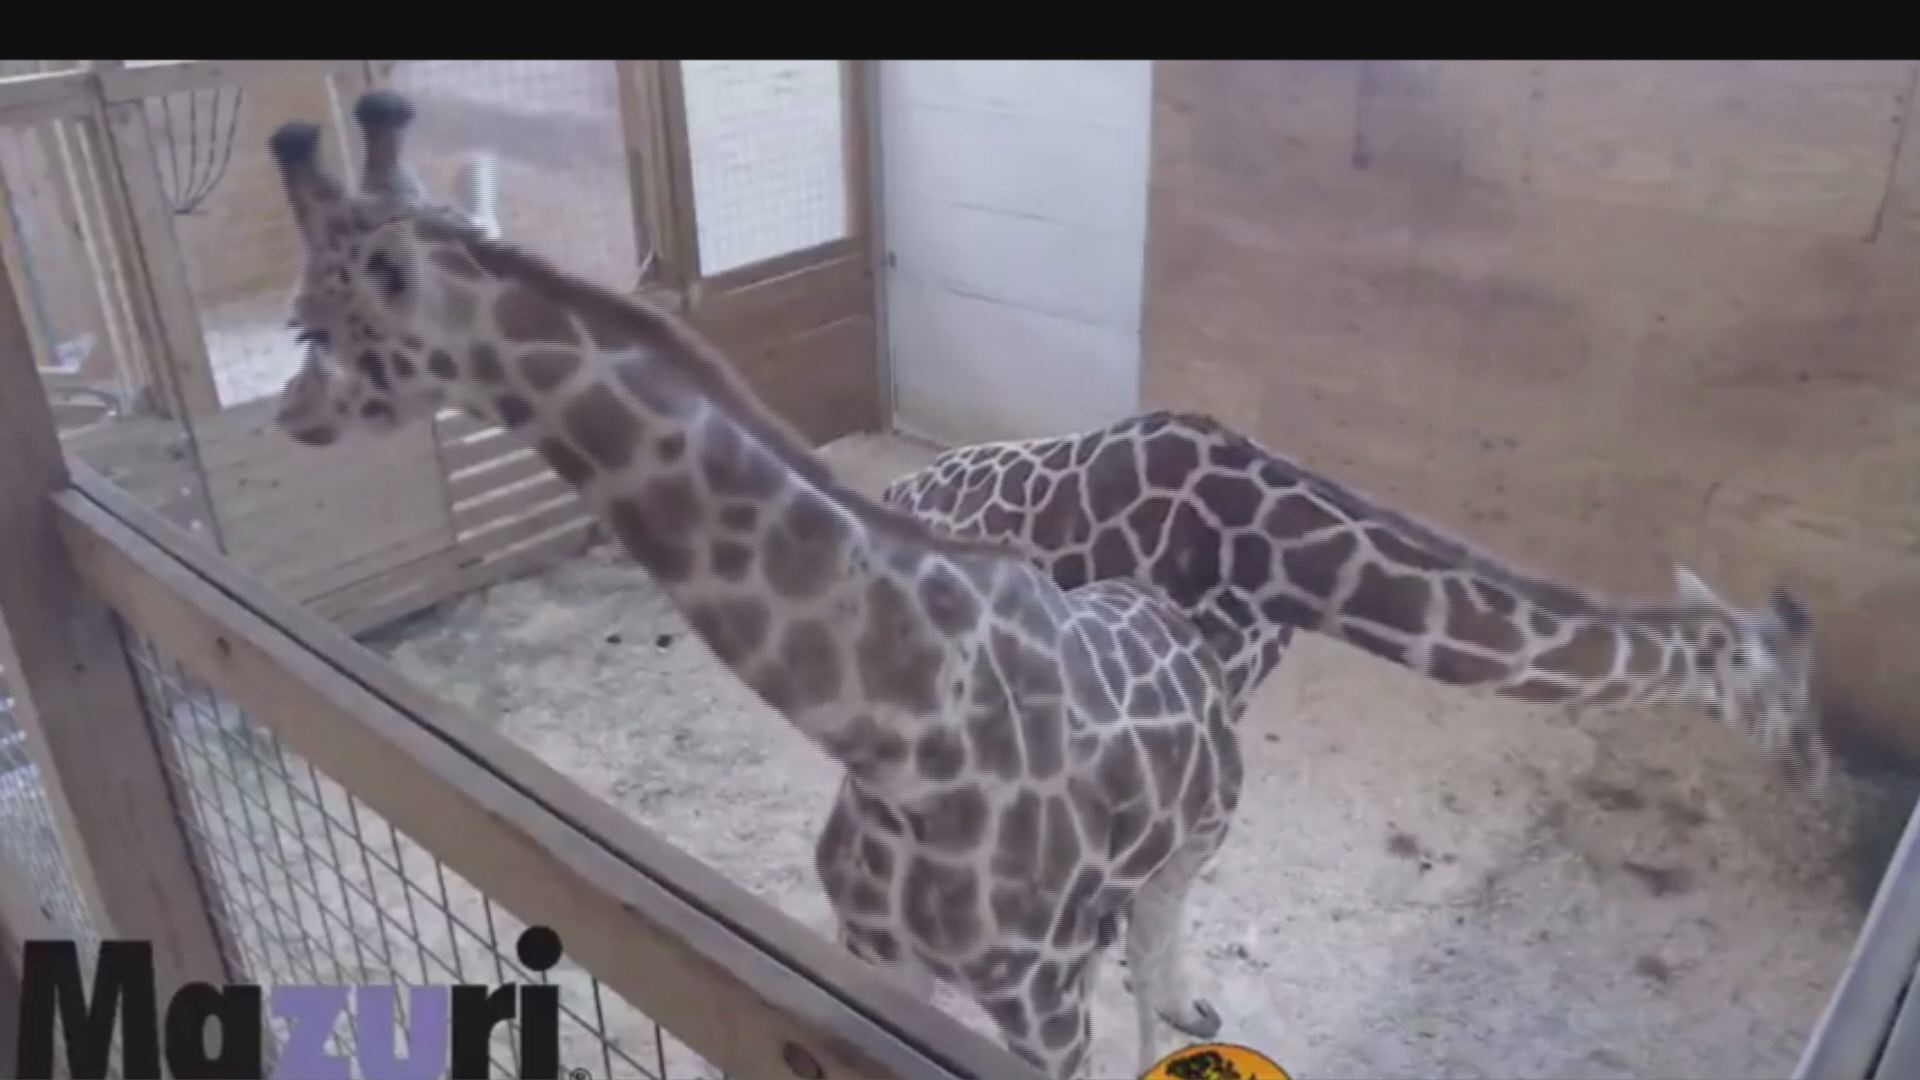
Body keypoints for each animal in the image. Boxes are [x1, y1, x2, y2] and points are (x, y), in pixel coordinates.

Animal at [263, 90, 1243, 1078]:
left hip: (1202, 831)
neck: (912, 747)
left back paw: (1192, 1010)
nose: (288, 415)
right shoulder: (877, 950)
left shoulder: (1041, 1004)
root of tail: (1167, 616)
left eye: (308, 324)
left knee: (1160, 926)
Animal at [883, 410, 1834, 794]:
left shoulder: (1226, 689)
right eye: (1784, 695)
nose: (1823, 772)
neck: (1271, 559)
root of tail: (898, 482)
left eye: (1810, 686)